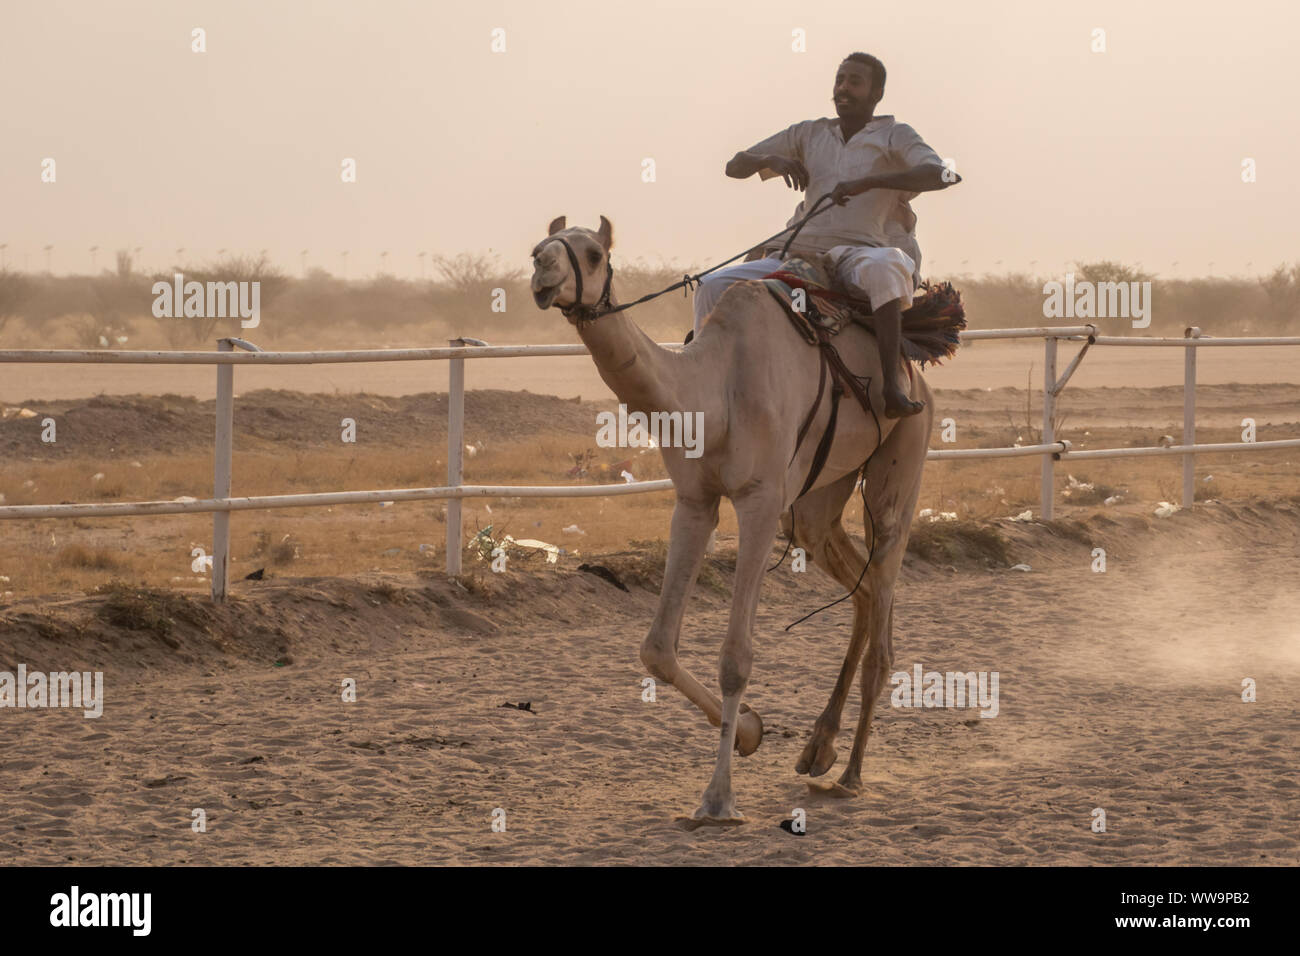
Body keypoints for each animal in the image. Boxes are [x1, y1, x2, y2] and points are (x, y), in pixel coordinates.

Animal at [530, 215, 935, 826]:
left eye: (594, 253)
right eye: (539, 245)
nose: (542, 272)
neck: (713, 390)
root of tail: (919, 375)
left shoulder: (760, 500)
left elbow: (735, 659)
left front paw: (718, 798)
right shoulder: (695, 500)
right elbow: (657, 648)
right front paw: (749, 731)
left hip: (904, 458)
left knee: (884, 589)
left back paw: (850, 774)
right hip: (817, 500)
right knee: (860, 588)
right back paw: (818, 748)